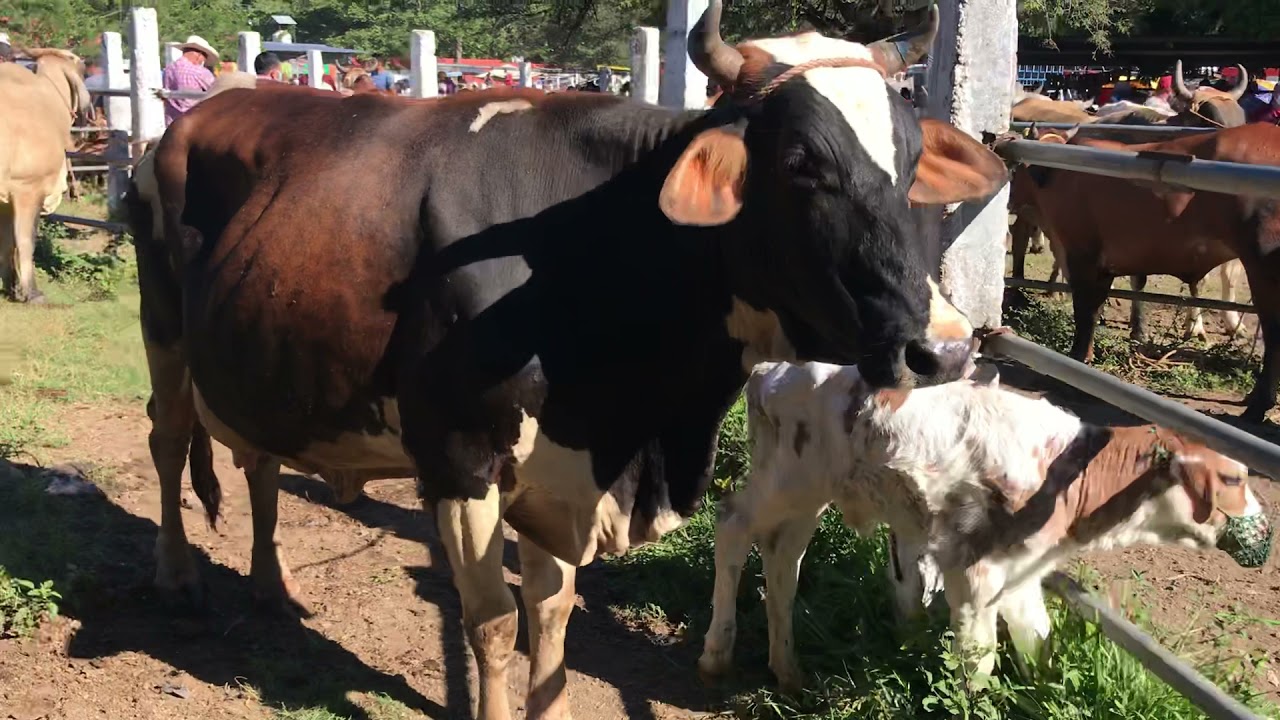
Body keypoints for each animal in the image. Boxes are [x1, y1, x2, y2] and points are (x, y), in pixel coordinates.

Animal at [0, 48, 92, 302]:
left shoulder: (7, 200)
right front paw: (31, 292)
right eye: (83, 69)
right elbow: (25, 240)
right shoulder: (29, 189)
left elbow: (7, 243)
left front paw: (11, 287)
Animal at [125, 3, 1009, 718]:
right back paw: (175, 577)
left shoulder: (564, 469)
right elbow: (491, 621)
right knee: (167, 440)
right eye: (800, 164)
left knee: (259, 464)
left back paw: (271, 584)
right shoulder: (460, 456)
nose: (944, 346)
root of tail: (197, 112)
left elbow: (550, 615)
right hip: (162, 330)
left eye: (908, 160)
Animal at [698, 359, 1272, 690]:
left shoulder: (1019, 573)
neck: (1069, 471)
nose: (1266, 531)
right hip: (785, 482)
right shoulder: (974, 572)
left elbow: (1037, 645)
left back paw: (787, 668)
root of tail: (771, 369)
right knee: (732, 526)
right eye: (1232, 477)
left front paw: (1042, 694)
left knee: (782, 560)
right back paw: (717, 654)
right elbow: (979, 663)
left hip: (809, 497)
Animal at [1008, 123, 1280, 421]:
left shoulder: (1084, 258)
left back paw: (1257, 406)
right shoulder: (1103, 264)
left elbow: (1085, 316)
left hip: (1263, 269)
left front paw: (1076, 366)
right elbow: (1094, 312)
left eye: (1015, 168)